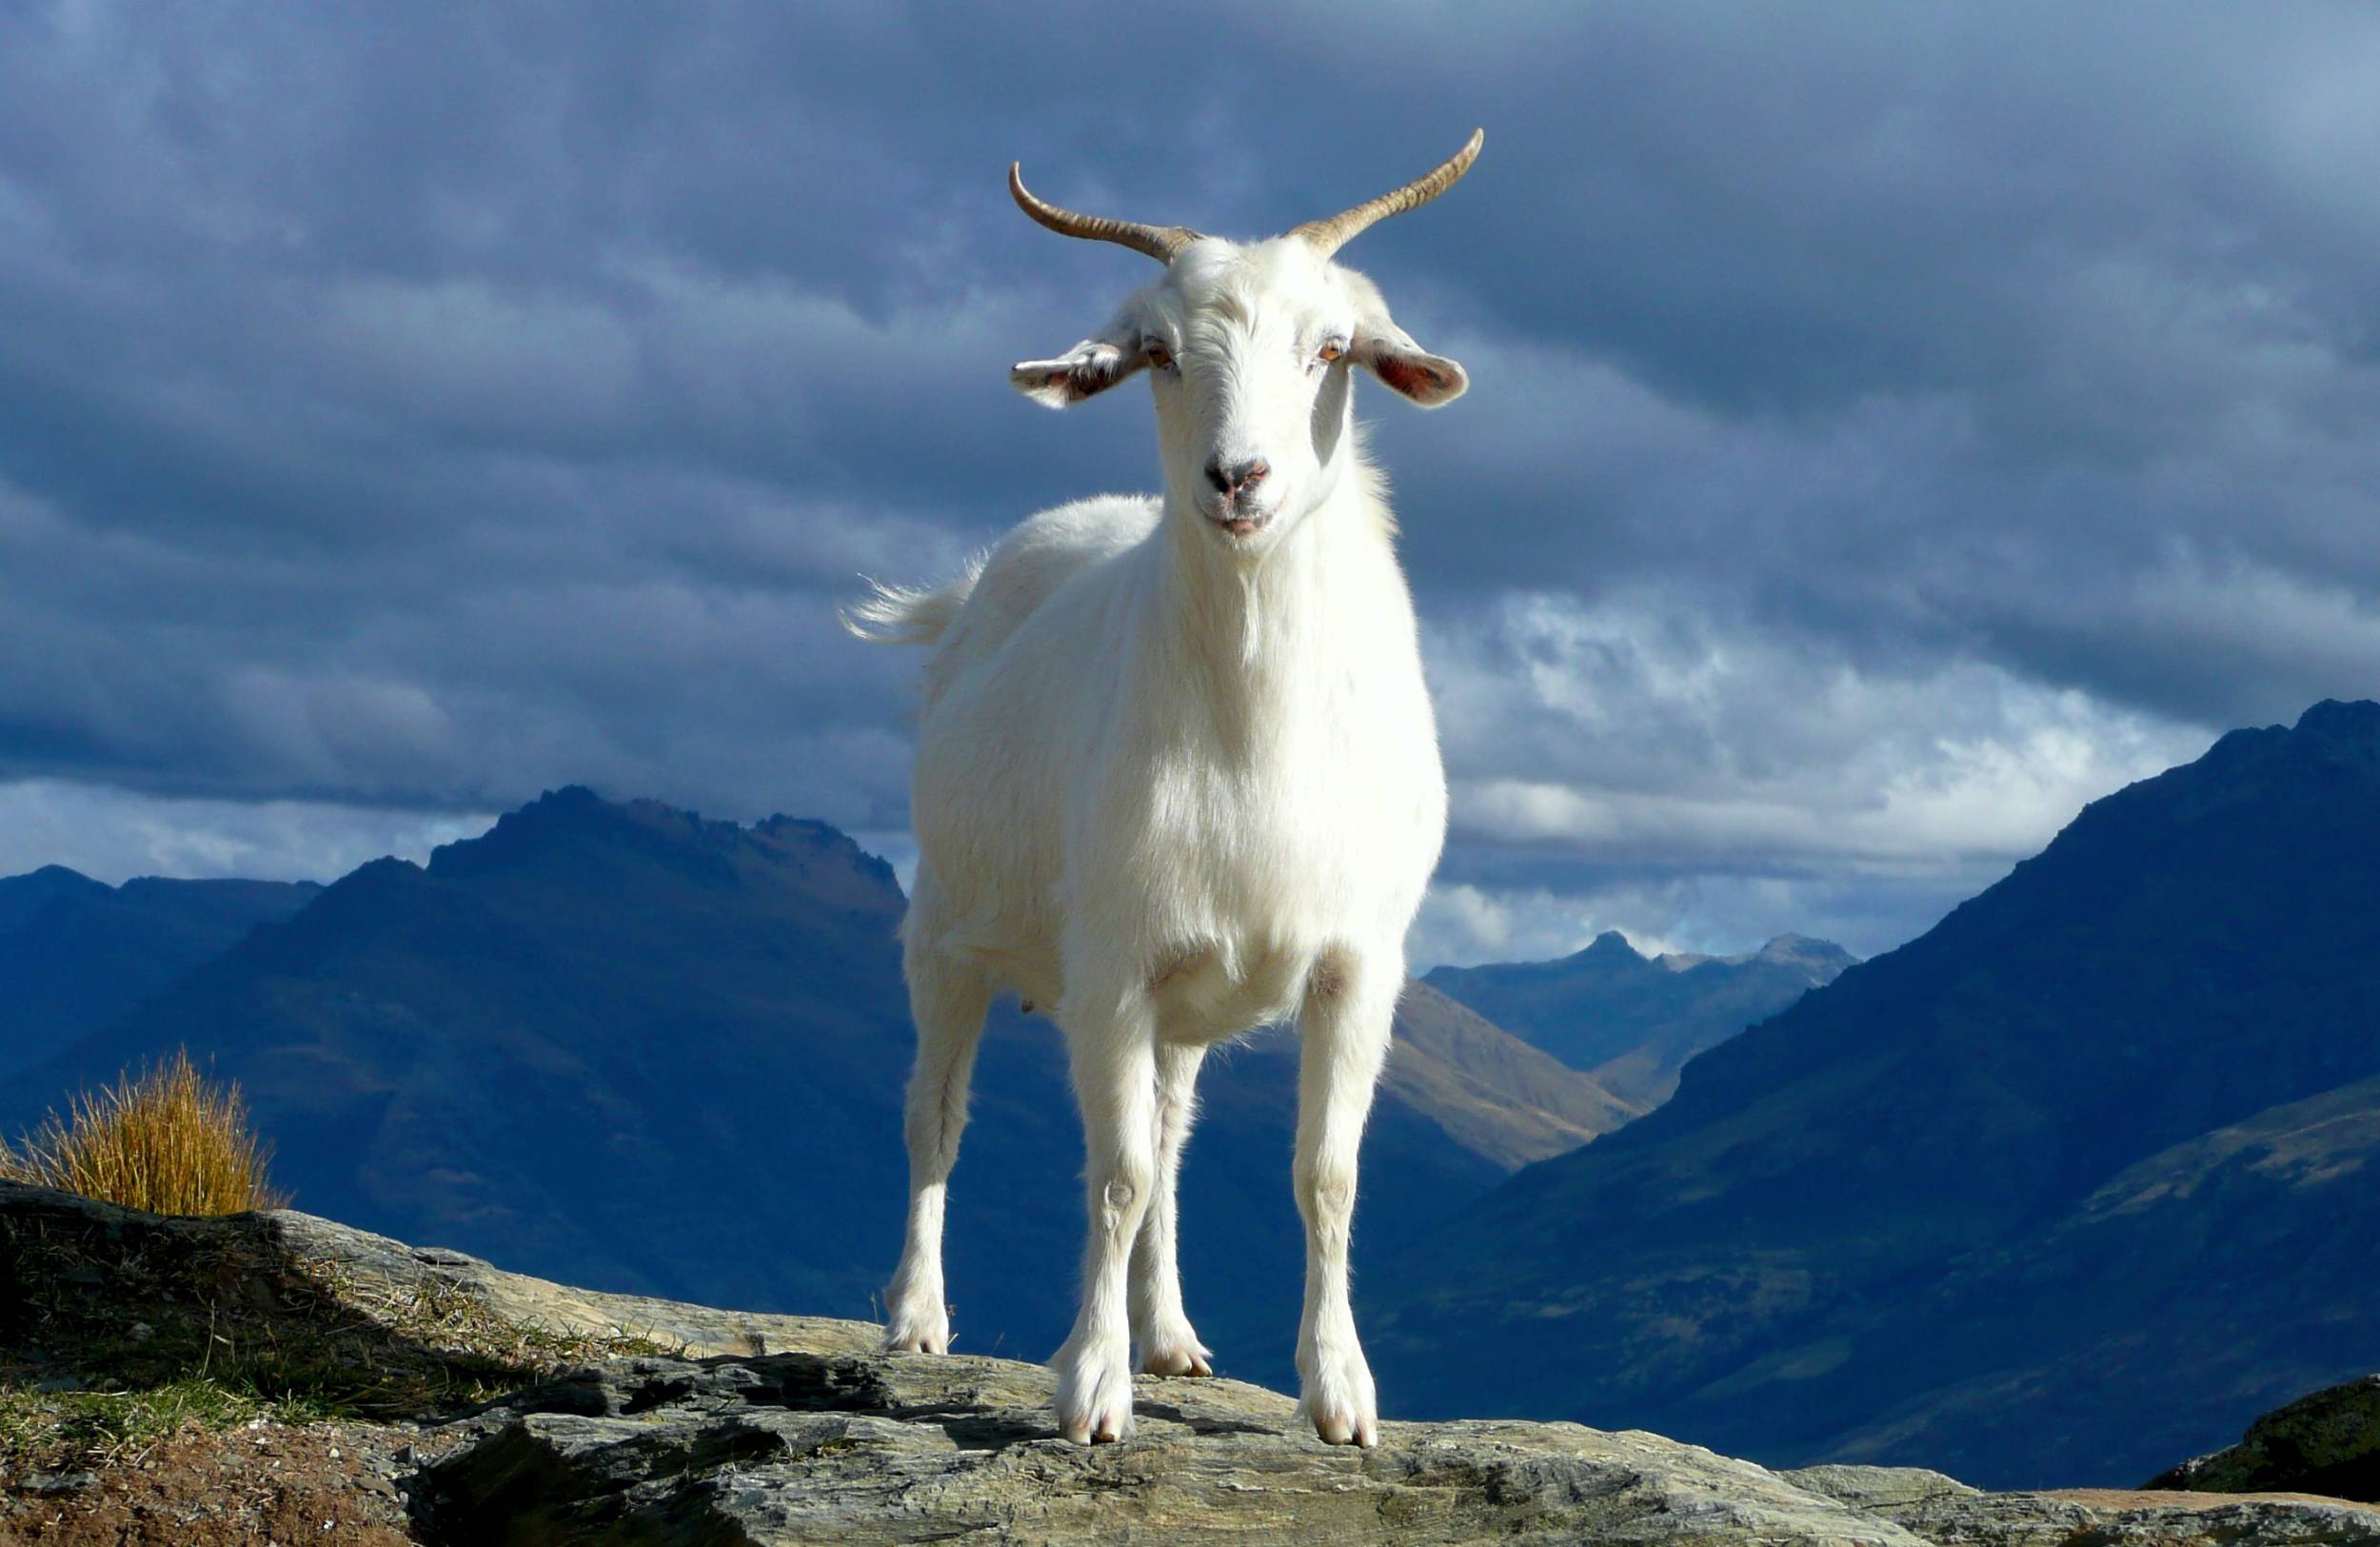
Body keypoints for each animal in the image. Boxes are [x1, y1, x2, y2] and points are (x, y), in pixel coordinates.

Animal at [845, 131, 1479, 1447]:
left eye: (1330, 348)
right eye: (1160, 353)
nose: (1237, 478)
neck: (1255, 732)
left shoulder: (1356, 964)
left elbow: (1322, 1172)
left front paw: (1340, 1393)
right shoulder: (1111, 967)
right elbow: (1116, 1173)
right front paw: (1091, 1387)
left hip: (1186, 1001)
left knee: (1176, 1141)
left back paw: (1173, 1333)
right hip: (944, 933)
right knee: (937, 1112)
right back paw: (918, 1314)